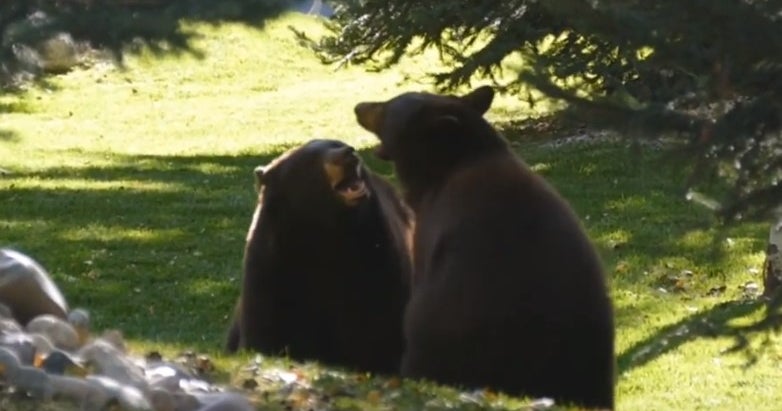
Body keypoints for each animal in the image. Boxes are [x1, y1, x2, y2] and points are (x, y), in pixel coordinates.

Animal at [224, 139, 412, 376]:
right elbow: (262, 329)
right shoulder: (271, 261)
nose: (349, 153)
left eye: (336, 142)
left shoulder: (375, 253)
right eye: (312, 159)